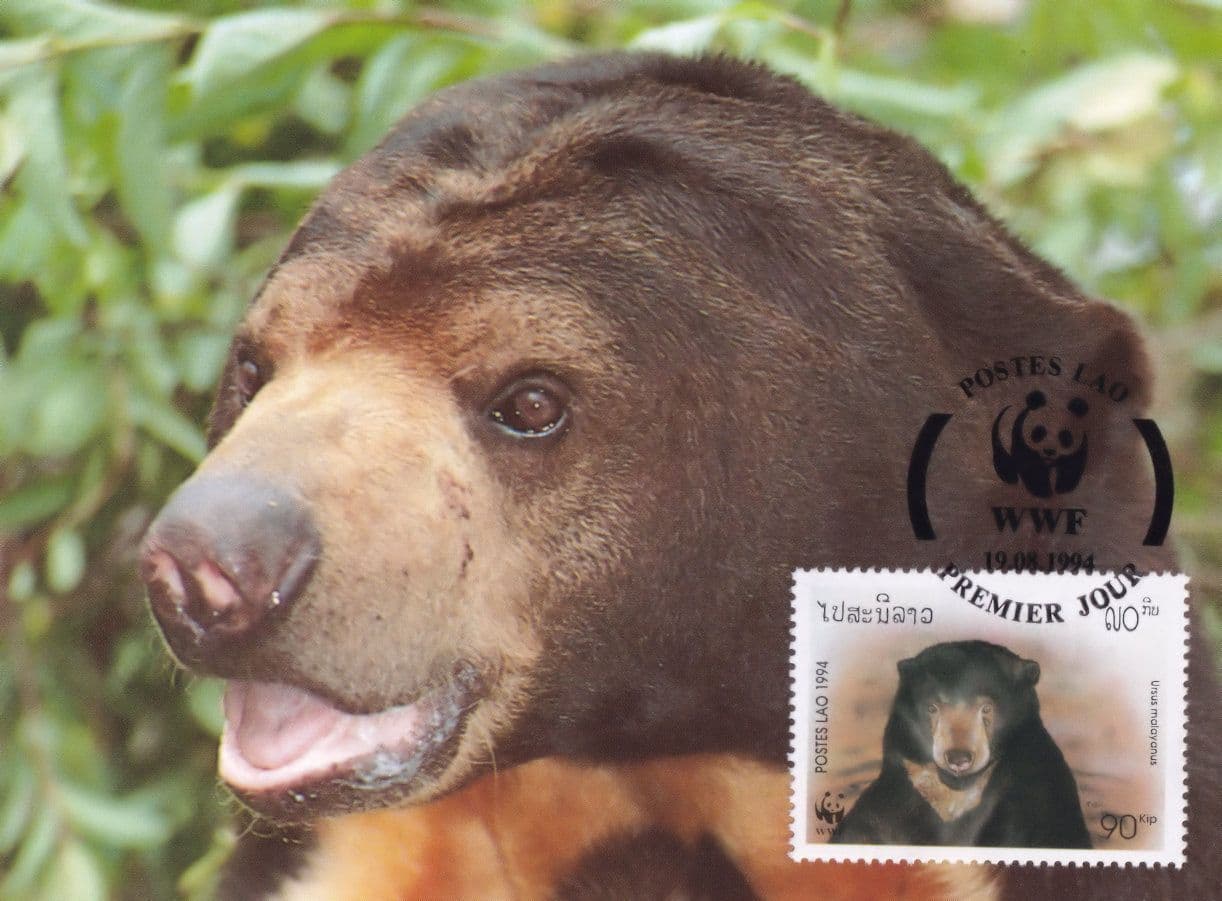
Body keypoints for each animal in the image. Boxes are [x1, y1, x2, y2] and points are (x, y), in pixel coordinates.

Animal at [831, 641, 1091, 848]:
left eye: (986, 708)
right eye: (932, 707)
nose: (958, 758)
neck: (955, 790)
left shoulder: (1034, 786)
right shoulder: (901, 785)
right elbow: (868, 824)